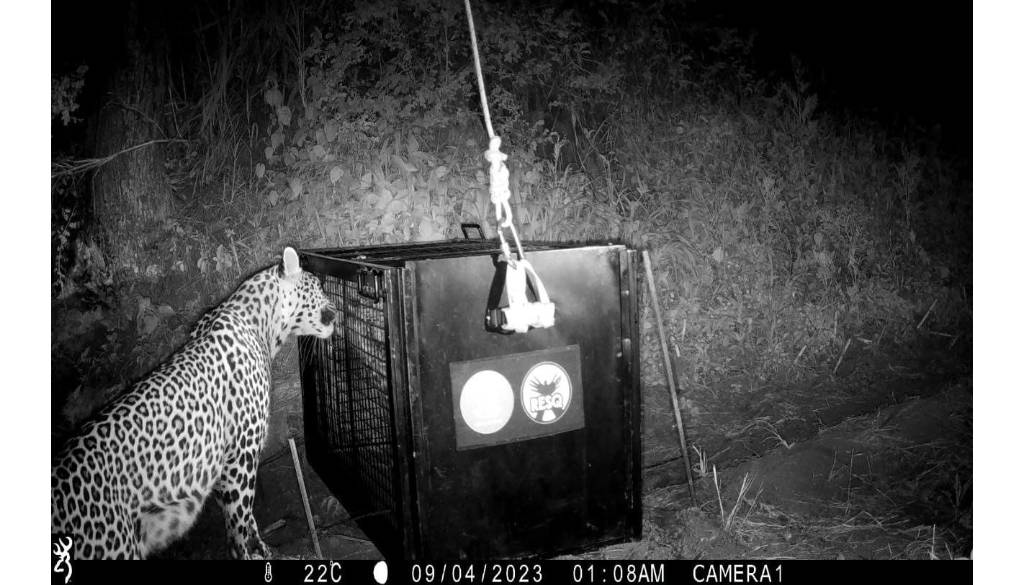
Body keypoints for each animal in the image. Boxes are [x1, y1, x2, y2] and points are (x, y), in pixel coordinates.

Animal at [51, 247, 336, 559]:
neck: (263, 325)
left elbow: (244, 517)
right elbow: (239, 523)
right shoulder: (240, 455)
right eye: (318, 286)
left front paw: (260, 546)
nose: (335, 311)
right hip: (115, 547)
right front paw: (249, 552)